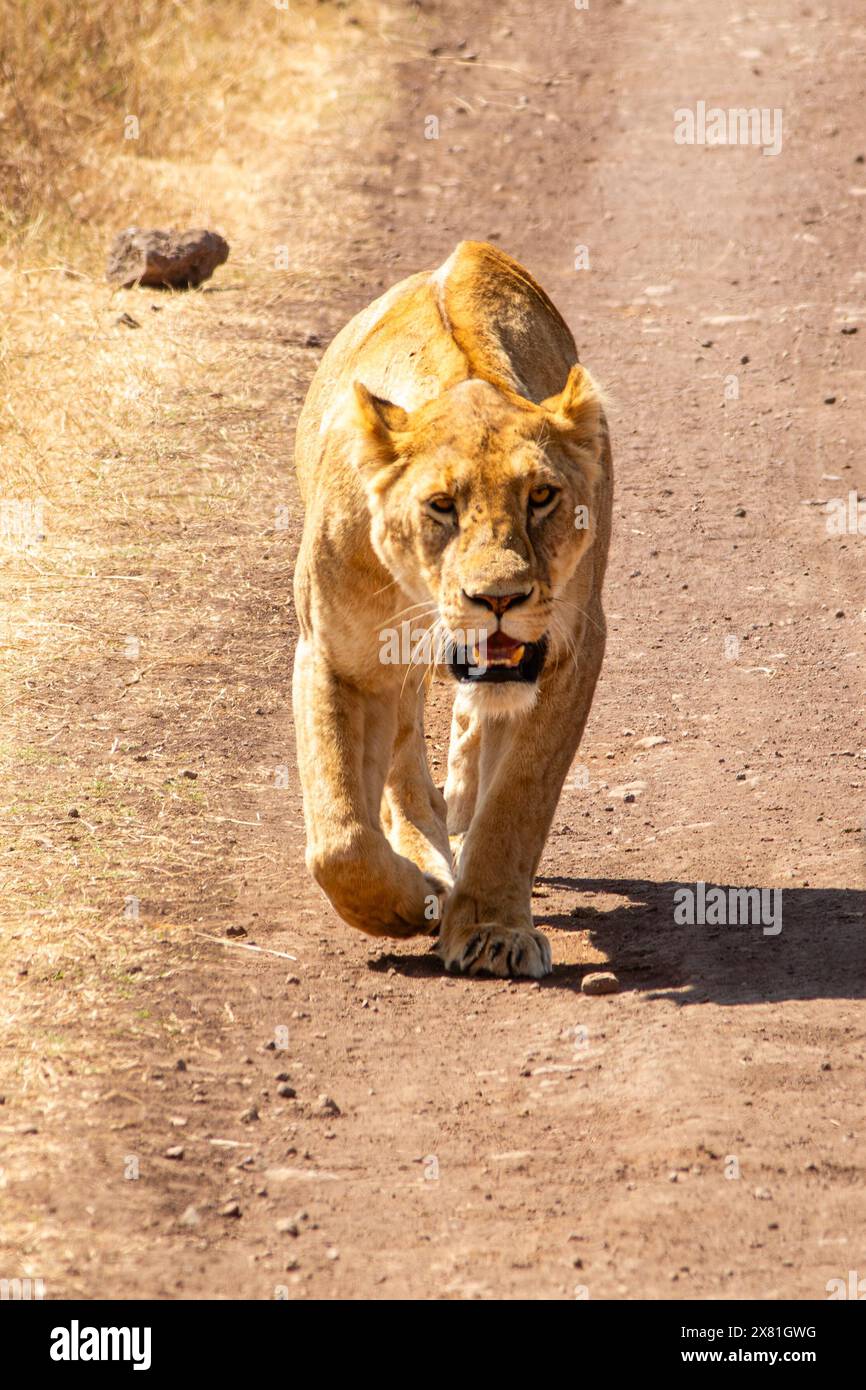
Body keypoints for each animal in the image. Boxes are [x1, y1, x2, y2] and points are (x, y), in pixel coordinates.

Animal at [292, 241, 612, 977]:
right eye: (441, 506)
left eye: (542, 496)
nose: (498, 598)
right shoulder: (333, 654)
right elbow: (341, 839)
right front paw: (414, 902)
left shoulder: (570, 653)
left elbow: (517, 802)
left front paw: (492, 928)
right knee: (404, 760)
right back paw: (428, 855)